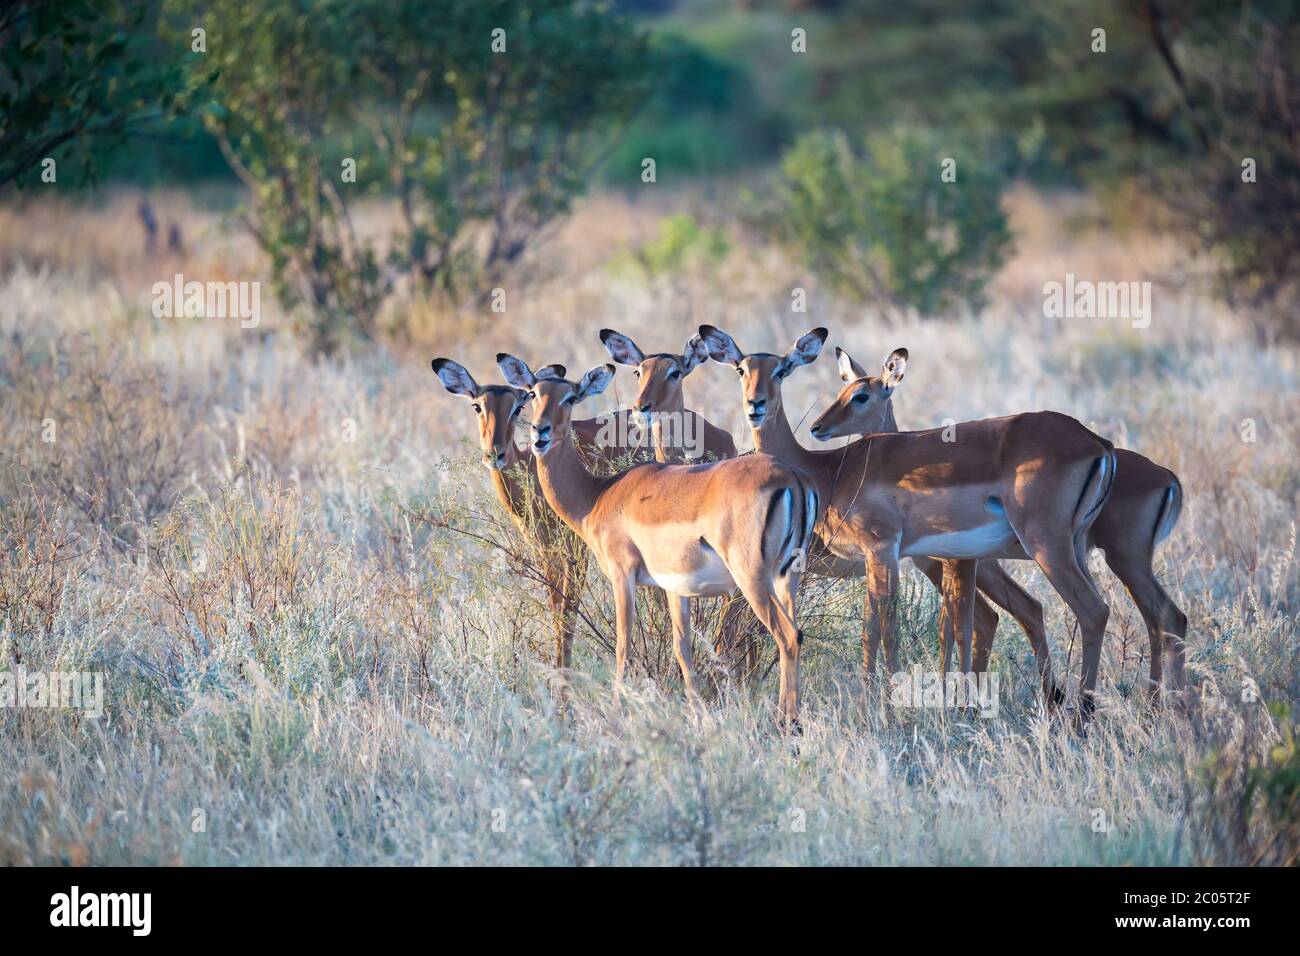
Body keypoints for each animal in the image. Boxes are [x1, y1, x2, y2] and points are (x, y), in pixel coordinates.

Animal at [430, 357, 642, 672]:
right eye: (477, 406)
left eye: (517, 407)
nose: (495, 454)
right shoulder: (545, 549)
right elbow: (555, 607)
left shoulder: (576, 549)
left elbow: (568, 610)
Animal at [497, 352, 817, 730]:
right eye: (533, 393)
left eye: (570, 397)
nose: (540, 431)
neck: (598, 496)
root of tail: (793, 478)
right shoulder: (675, 587)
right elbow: (683, 648)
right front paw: (697, 715)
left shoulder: (623, 575)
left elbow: (623, 645)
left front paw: (616, 714)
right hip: (787, 578)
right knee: (794, 633)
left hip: (751, 579)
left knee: (787, 636)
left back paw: (787, 725)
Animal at [700, 325, 1118, 721]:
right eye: (741, 369)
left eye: (782, 369)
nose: (756, 405)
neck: (832, 470)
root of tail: (1097, 442)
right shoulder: (880, 557)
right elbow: (874, 625)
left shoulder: (883, 549)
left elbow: (884, 628)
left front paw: (883, 704)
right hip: (1063, 548)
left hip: (1042, 547)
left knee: (1089, 611)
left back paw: (1079, 712)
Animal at [812, 345, 1188, 698]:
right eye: (842, 390)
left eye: (861, 396)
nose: (818, 427)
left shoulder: (954, 562)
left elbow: (955, 625)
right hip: (1105, 558)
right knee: (1164, 619)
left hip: (1090, 555)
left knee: (1104, 613)